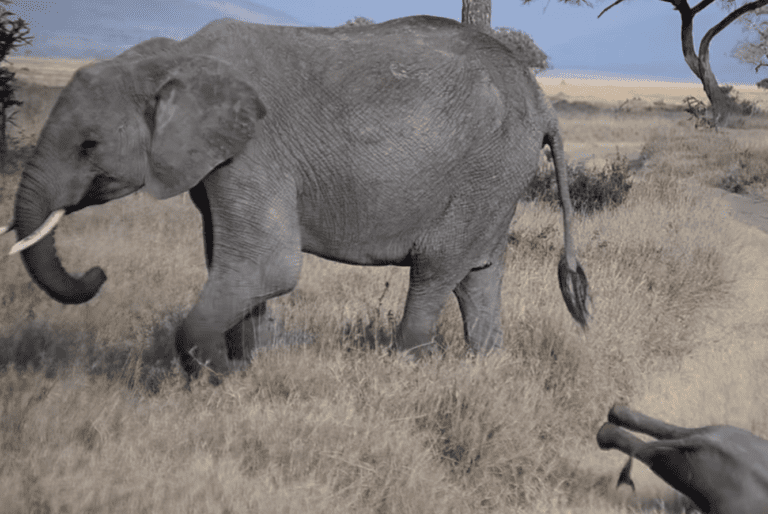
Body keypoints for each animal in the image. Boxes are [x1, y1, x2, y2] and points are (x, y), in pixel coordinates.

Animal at [5, 15, 590, 380]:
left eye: (88, 145)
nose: (97, 274)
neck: (174, 56)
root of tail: (542, 101)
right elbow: (233, 264)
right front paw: (248, 367)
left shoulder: (257, 151)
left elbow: (268, 266)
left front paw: (219, 381)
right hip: (495, 180)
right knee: (479, 276)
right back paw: (486, 366)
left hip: (482, 172)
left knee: (436, 268)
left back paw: (410, 365)